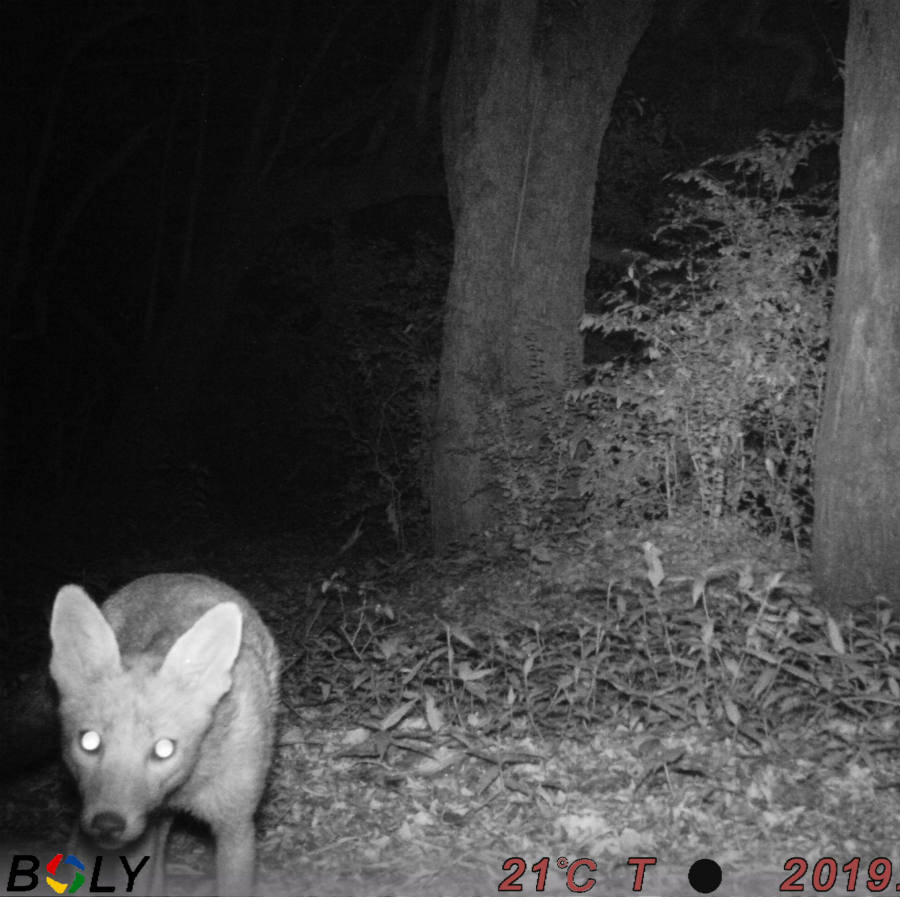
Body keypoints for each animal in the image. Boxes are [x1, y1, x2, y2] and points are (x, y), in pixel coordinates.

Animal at [48, 573, 280, 896]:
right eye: (89, 742)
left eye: (164, 749)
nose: (108, 824)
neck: (190, 784)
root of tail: (177, 575)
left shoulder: (236, 826)